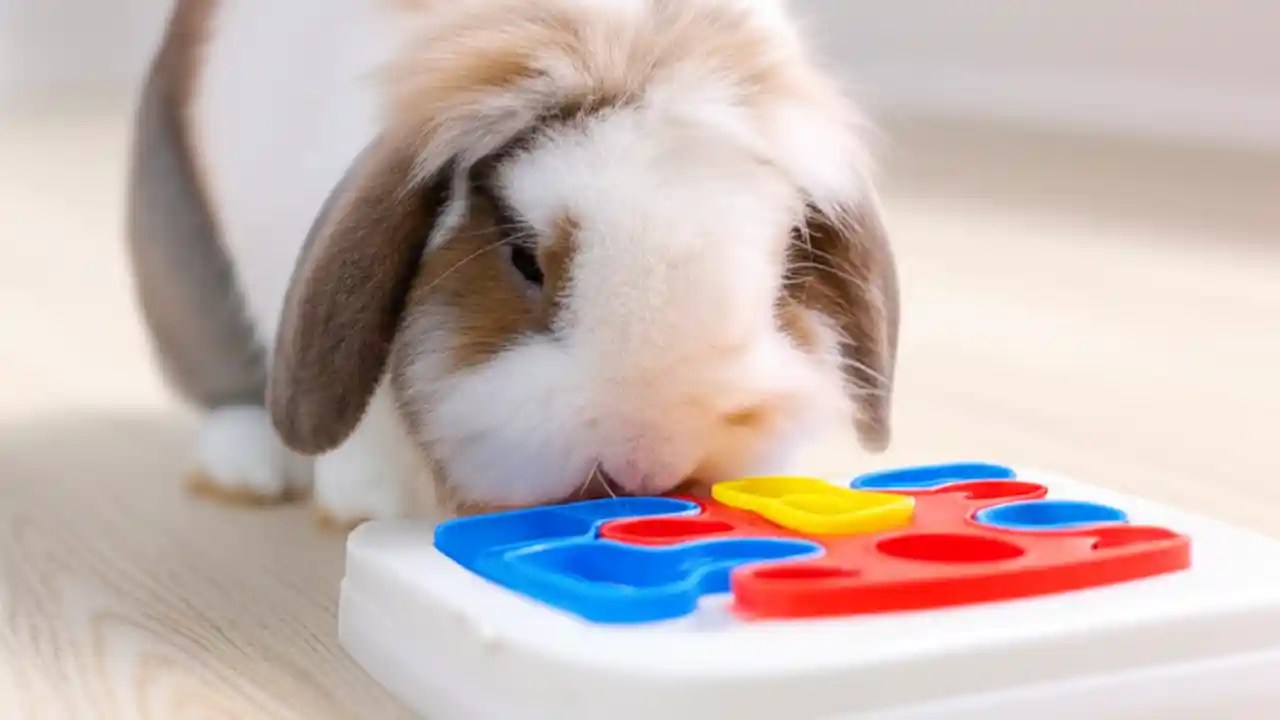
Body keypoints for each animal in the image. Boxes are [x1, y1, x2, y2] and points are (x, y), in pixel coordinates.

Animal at [126, 0, 899, 529]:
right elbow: (369, 425)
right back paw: (250, 469)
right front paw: (374, 510)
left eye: (784, 273)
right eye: (525, 259)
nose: (648, 460)